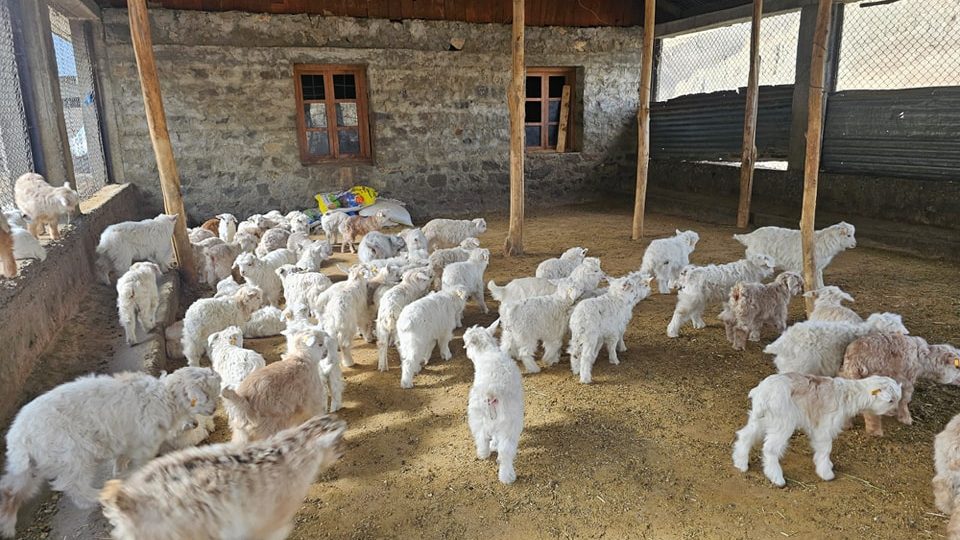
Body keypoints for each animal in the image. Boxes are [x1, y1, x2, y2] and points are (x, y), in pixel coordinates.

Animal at [0, 367, 220, 537]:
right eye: (207, 395)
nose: (212, 411)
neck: (165, 398)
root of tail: (19, 439)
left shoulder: (127, 442)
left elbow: (120, 459)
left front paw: (120, 472)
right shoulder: (145, 443)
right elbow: (141, 463)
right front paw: (134, 479)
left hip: (30, 469)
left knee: (11, 490)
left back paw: (8, 525)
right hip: (70, 457)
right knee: (75, 488)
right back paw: (99, 495)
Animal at [464, 323, 524, 484]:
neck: (488, 352)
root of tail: (493, 390)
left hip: (477, 415)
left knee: (481, 437)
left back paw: (484, 454)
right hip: (509, 422)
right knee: (505, 450)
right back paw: (506, 476)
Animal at [732, 372, 901, 487]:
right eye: (891, 400)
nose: (895, 412)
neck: (849, 395)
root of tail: (763, 393)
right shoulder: (824, 428)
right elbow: (825, 450)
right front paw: (826, 473)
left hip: (760, 419)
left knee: (745, 436)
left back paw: (741, 464)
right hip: (783, 423)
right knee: (770, 449)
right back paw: (777, 478)